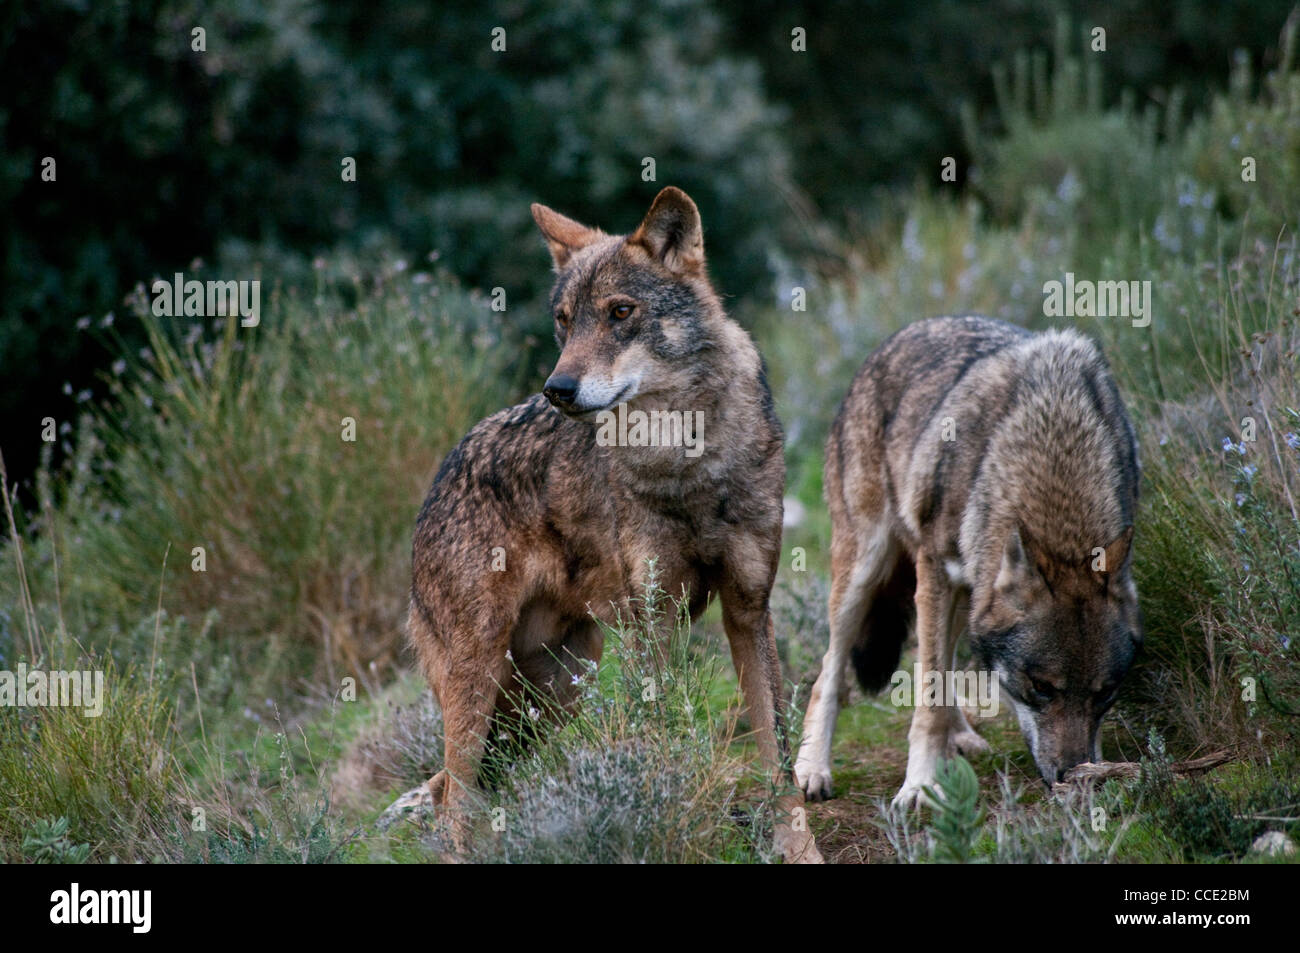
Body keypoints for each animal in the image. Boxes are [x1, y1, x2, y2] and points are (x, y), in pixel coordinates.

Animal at [407, 187, 821, 862]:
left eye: (620, 312)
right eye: (563, 321)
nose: (558, 389)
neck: (683, 460)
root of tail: (440, 477)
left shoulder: (747, 608)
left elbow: (777, 756)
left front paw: (799, 846)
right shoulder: (655, 623)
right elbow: (658, 745)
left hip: (558, 689)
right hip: (482, 680)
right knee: (452, 800)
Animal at [793, 315, 1141, 807]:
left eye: (1106, 693)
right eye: (1041, 687)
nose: (1073, 776)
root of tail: (904, 333)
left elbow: (939, 680)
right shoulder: (934, 569)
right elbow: (928, 696)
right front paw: (920, 786)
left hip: (961, 595)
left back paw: (960, 738)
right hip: (866, 572)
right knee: (830, 670)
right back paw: (812, 768)